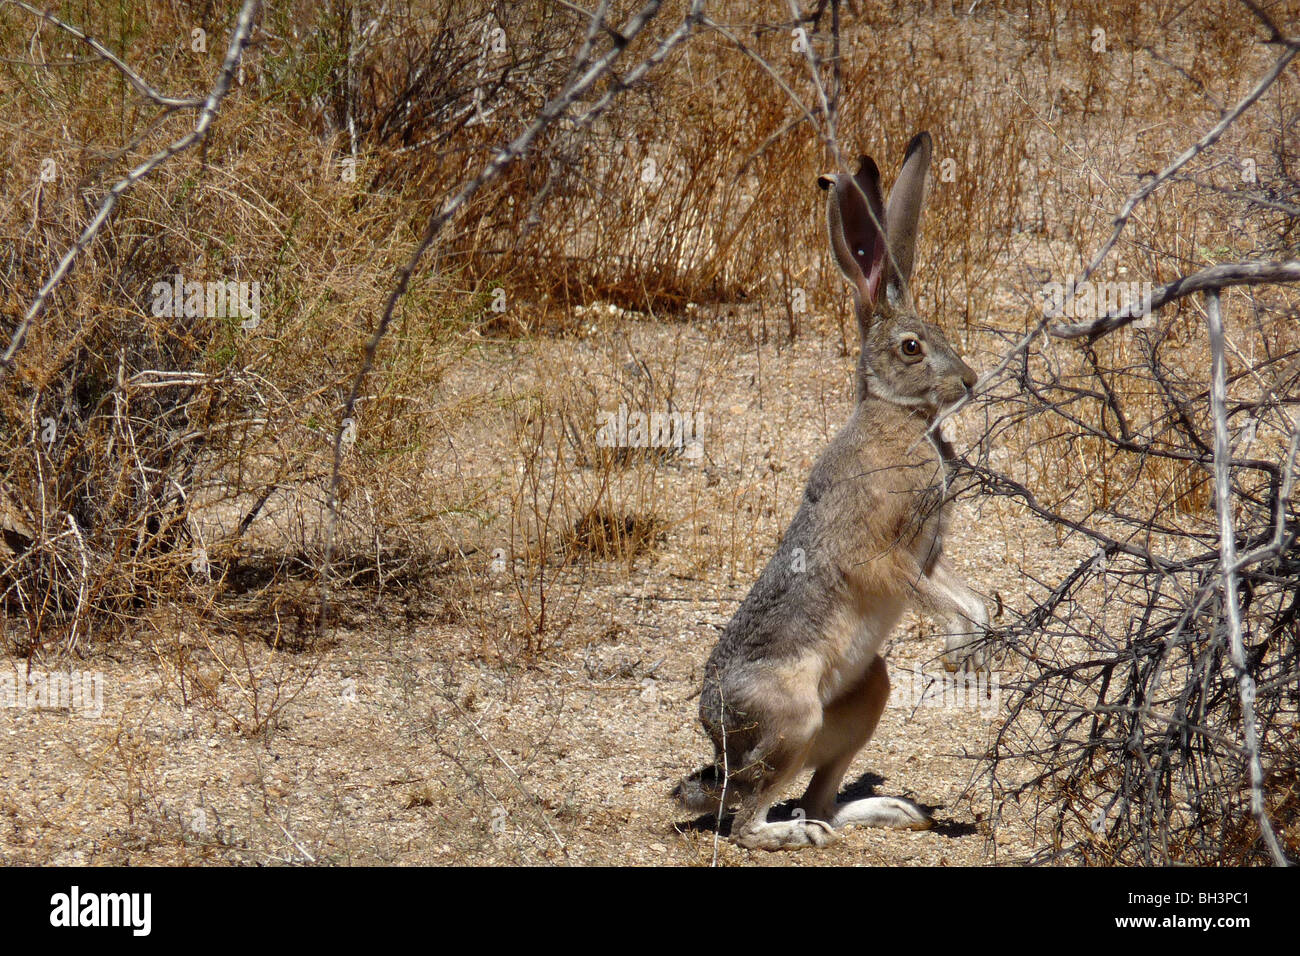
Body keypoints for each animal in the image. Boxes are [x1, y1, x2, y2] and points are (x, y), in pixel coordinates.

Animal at [673, 132, 991, 850]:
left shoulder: (928, 552)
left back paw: (885, 811)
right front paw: (960, 654)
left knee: (816, 794)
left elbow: (967, 592)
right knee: (746, 817)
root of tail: (720, 749)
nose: (969, 381)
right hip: (789, 717)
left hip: (869, 691)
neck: (897, 417)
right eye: (911, 347)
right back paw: (792, 836)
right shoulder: (883, 556)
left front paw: (976, 646)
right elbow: (934, 597)